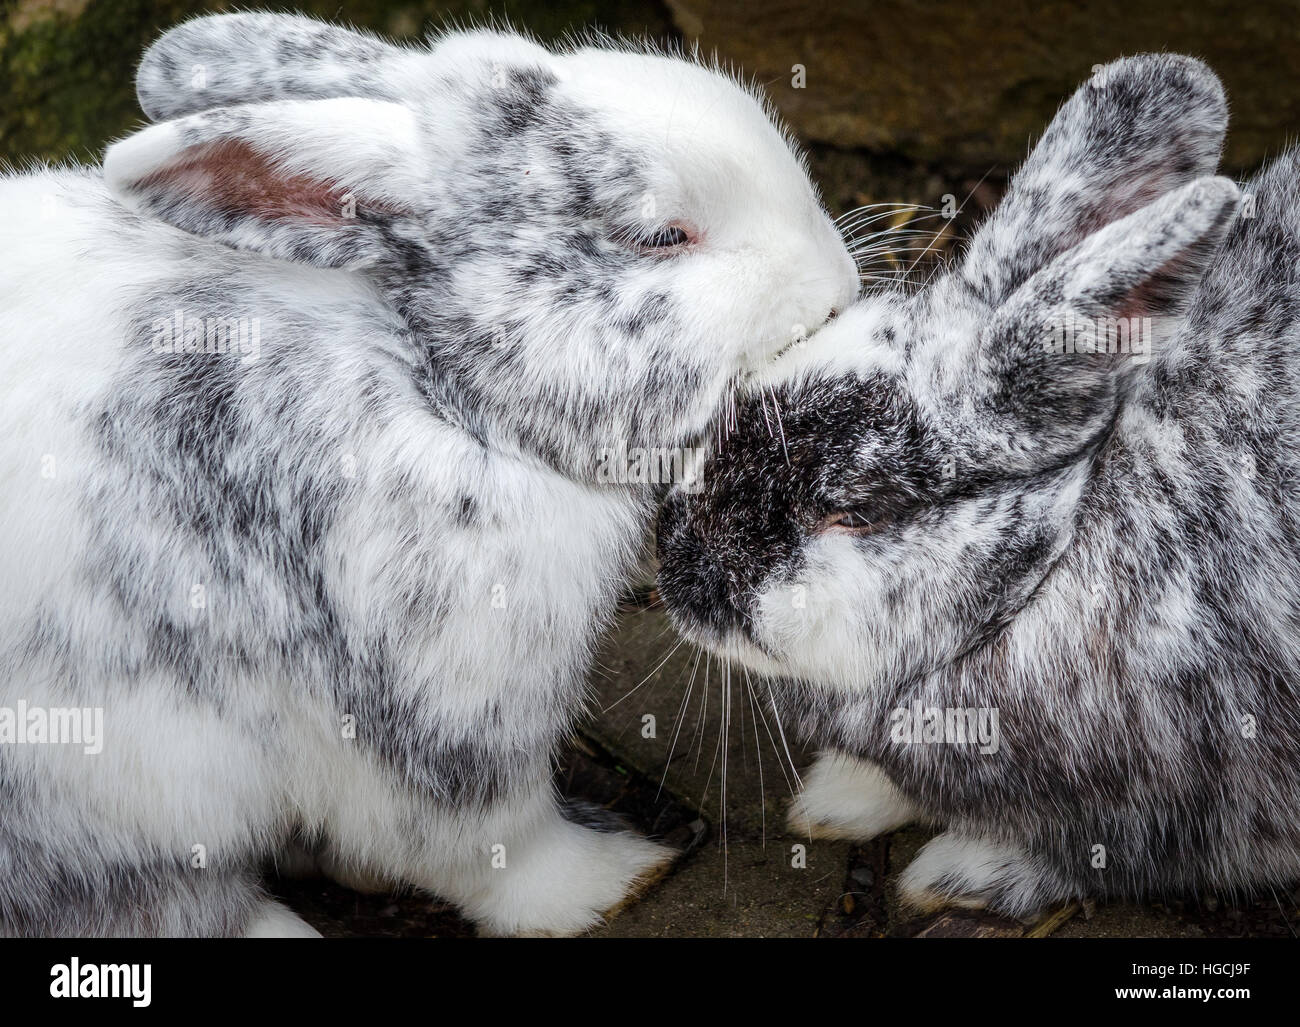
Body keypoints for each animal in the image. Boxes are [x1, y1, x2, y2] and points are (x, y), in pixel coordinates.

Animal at [0, 12, 858, 937]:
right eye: (661, 236)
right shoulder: (433, 710)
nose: (841, 287)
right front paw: (615, 876)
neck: (433, 383)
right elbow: (490, 842)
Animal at [655, 52, 1300, 919]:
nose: (674, 567)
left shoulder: (1207, 809)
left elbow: (1100, 857)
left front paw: (956, 872)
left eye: (852, 512)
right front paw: (838, 799)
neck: (1057, 550)